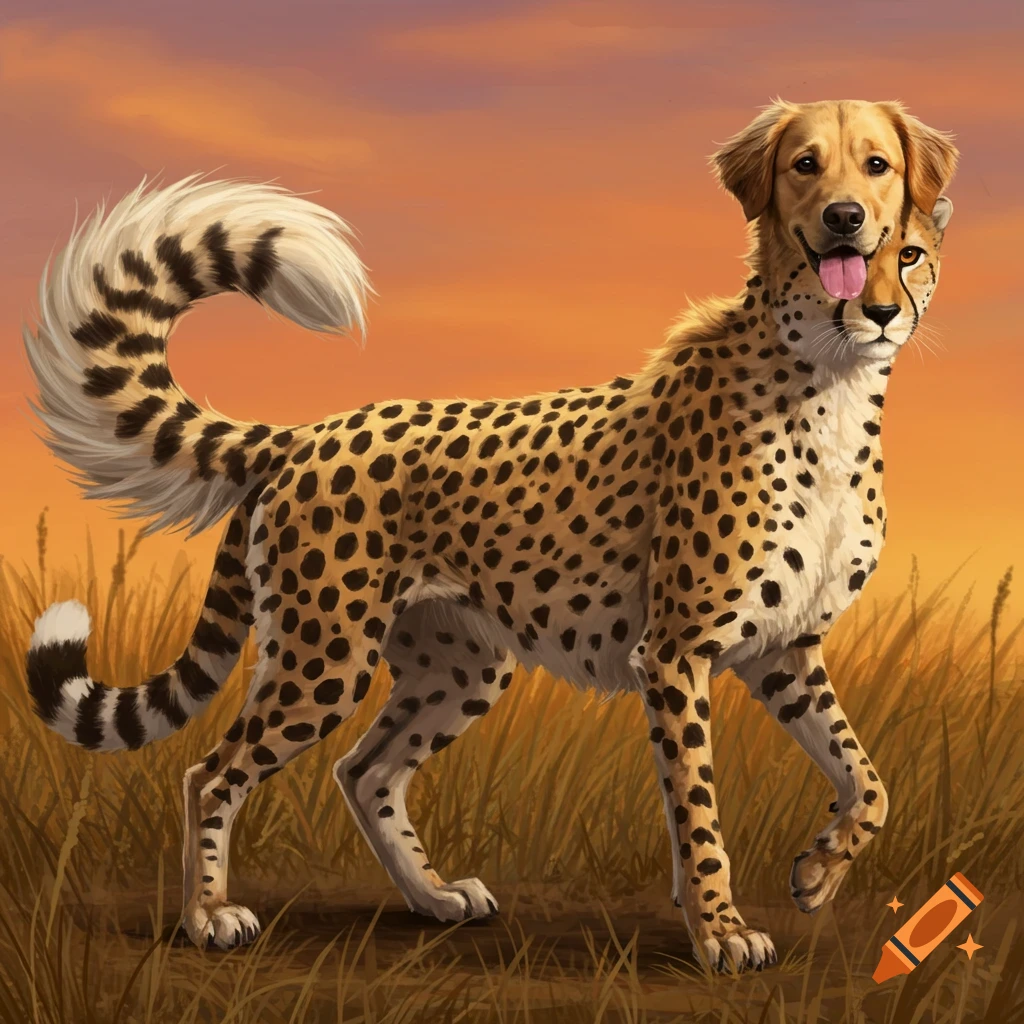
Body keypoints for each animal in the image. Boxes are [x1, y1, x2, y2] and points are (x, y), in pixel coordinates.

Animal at [22, 98, 957, 972]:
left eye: (907, 251)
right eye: (807, 166)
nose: (871, 284)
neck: (830, 382)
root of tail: (307, 431)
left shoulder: (784, 648)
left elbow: (869, 781)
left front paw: (816, 873)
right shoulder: (674, 654)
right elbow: (699, 810)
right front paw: (721, 931)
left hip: (463, 663)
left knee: (364, 768)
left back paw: (433, 897)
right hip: (324, 656)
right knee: (211, 773)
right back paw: (208, 916)